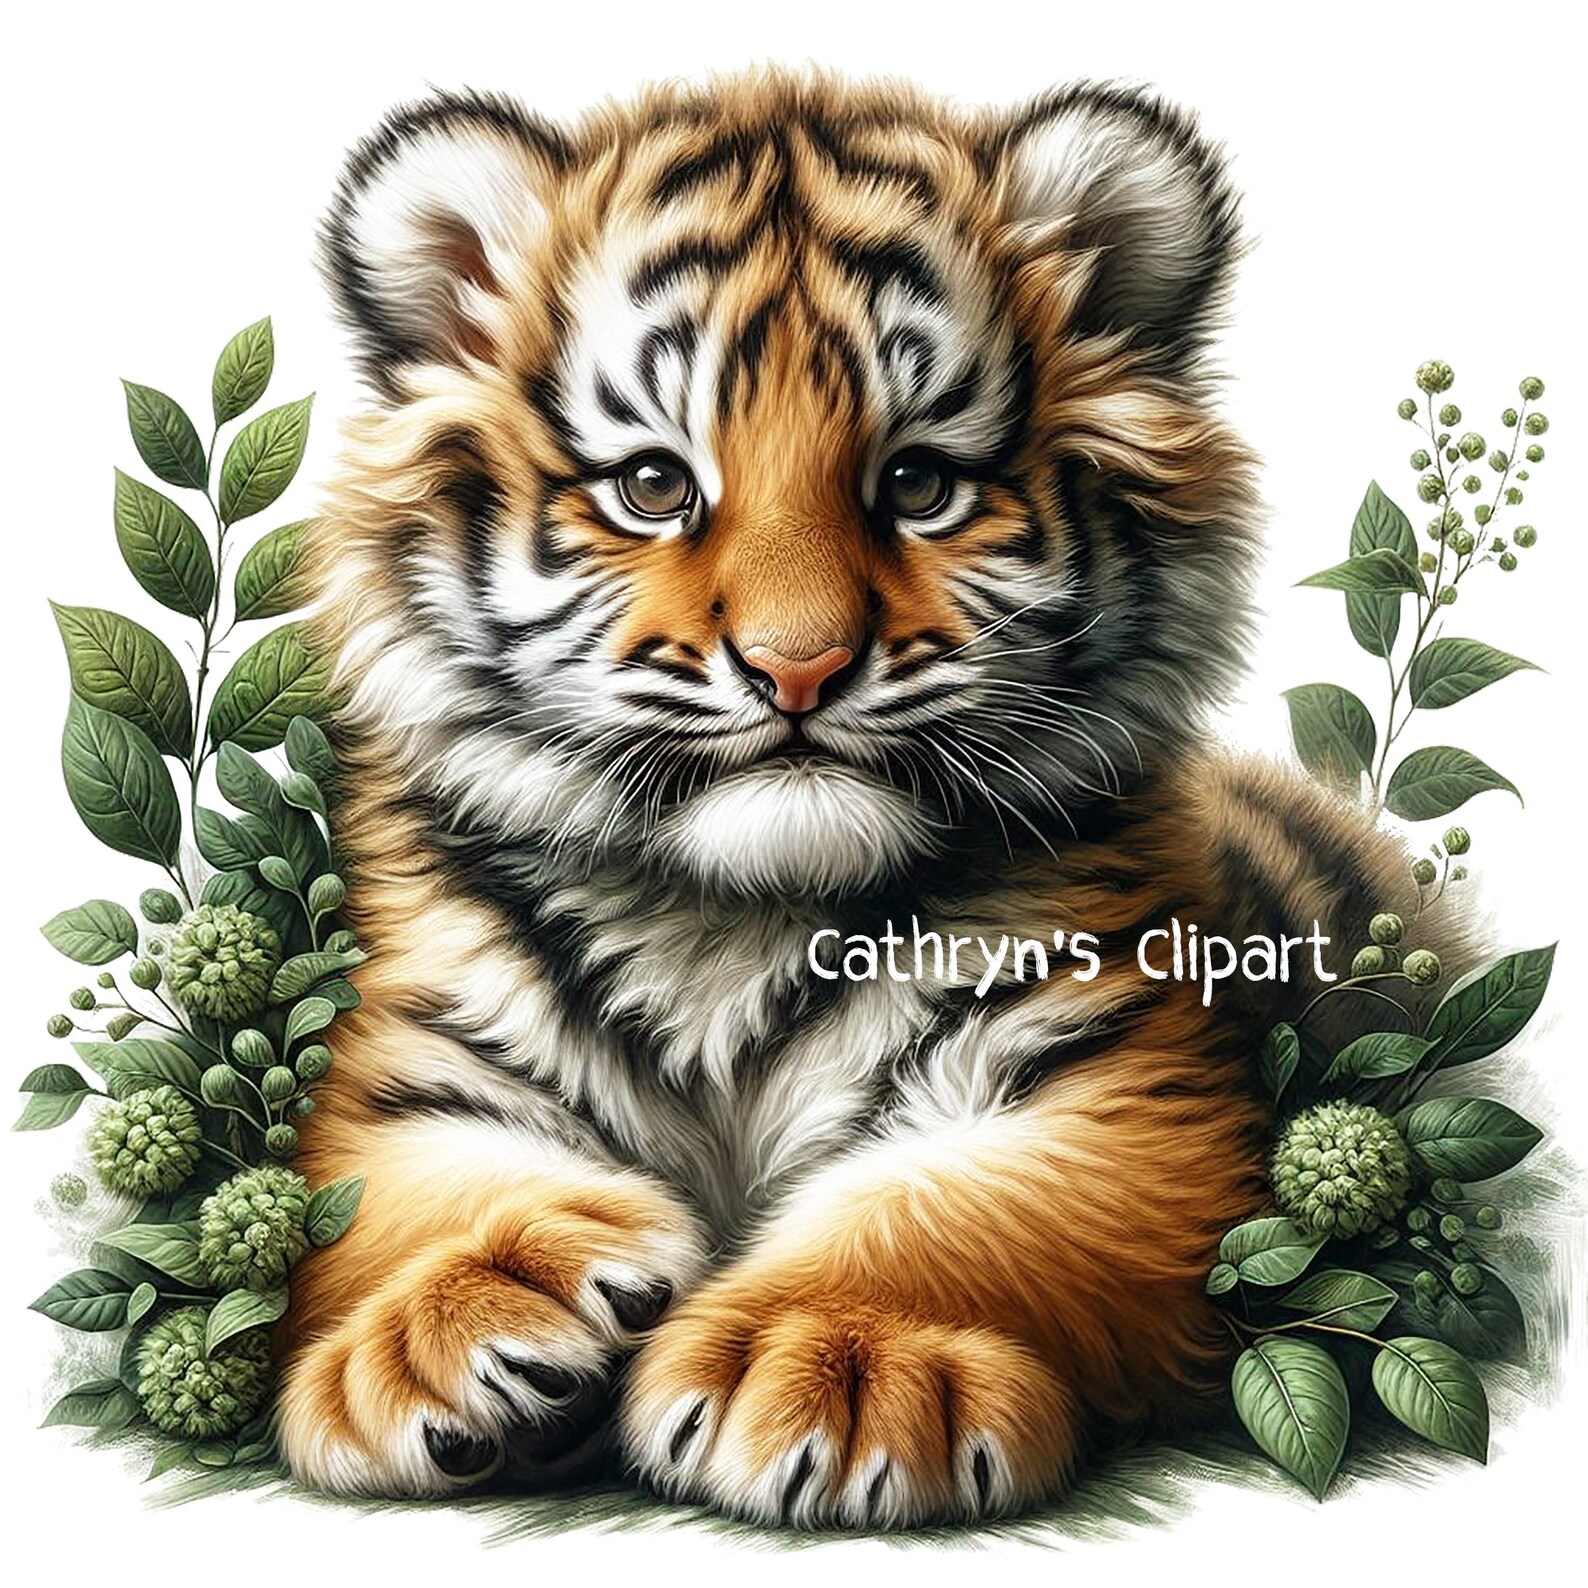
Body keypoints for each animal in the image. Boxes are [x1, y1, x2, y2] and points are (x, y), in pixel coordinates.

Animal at [277, 69, 1420, 1527]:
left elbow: (955, 1213)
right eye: (653, 484)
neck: (729, 922)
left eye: (918, 483)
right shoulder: (414, 1066)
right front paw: (457, 1322)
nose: (799, 665)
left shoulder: (1112, 1093)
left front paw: (835, 1363)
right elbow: (411, 1188)